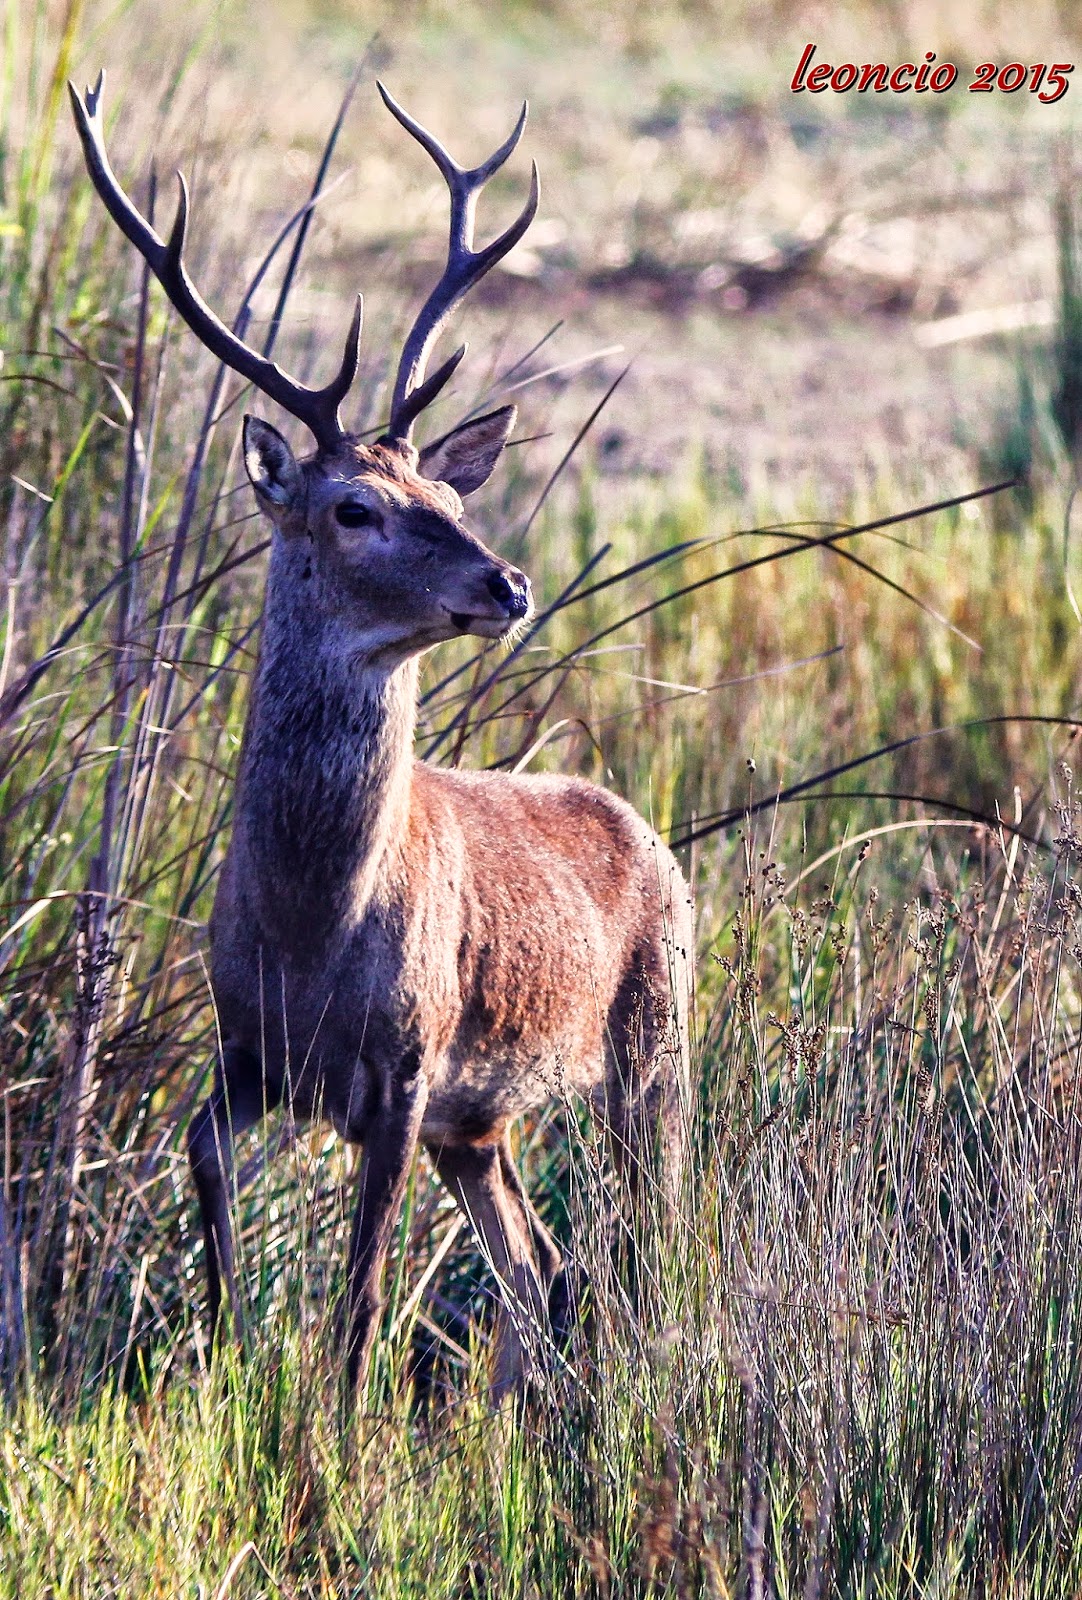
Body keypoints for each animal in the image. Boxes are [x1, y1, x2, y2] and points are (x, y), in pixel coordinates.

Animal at [70, 73, 694, 1402]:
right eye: (354, 507)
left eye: (450, 496)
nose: (506, 581)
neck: (312, 928)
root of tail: (643, 827)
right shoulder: (245, 1046)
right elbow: (203, 1167)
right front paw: (229, 1363)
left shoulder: (408, 1066)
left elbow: (357, 1302)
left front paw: (330, 1430)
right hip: (487, 1121)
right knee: (542, 1264)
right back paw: (514, 1419)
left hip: (652, 1037)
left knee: (646, 1244)